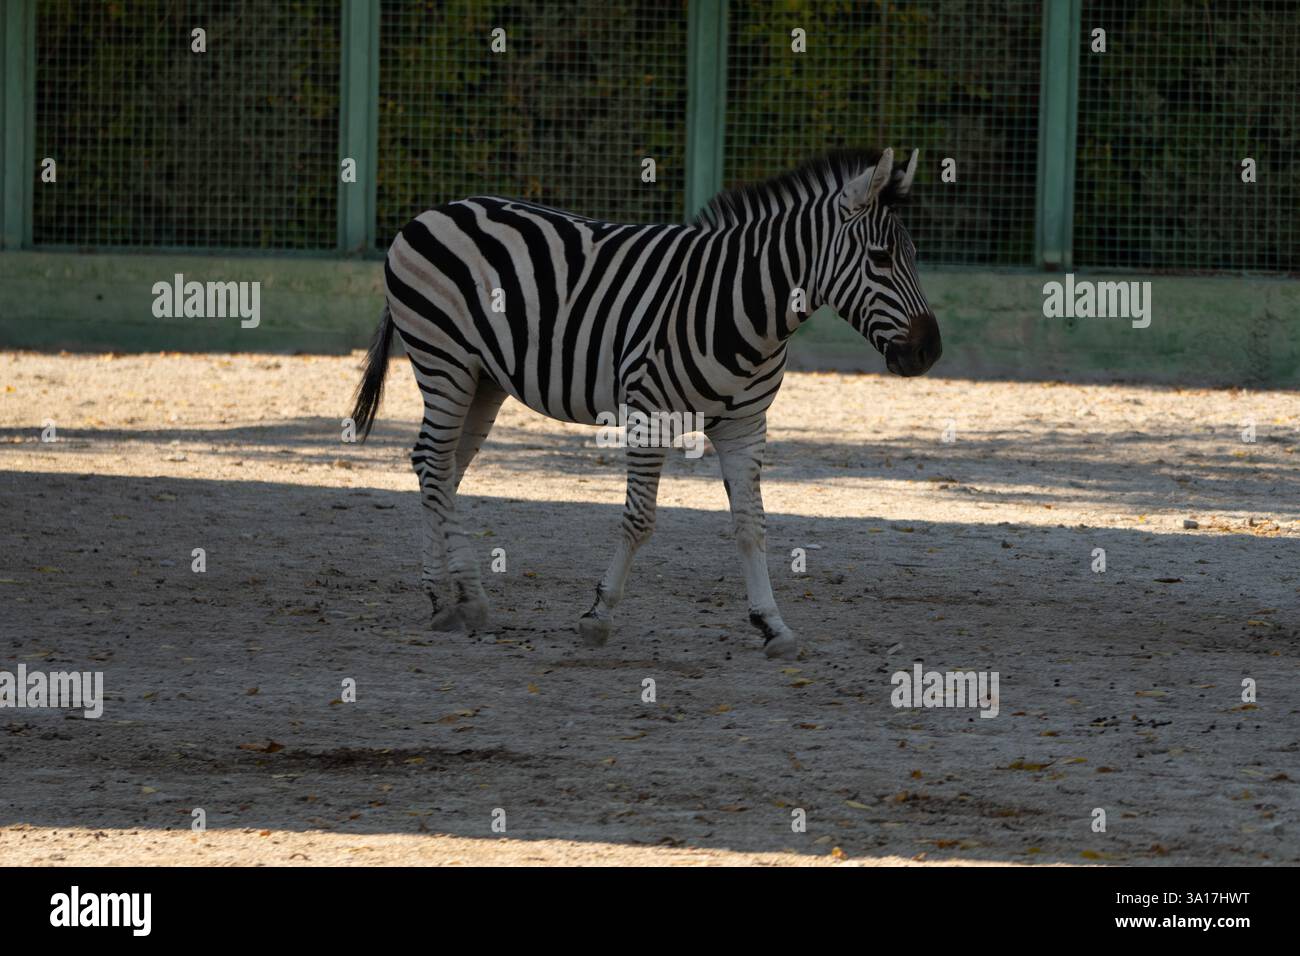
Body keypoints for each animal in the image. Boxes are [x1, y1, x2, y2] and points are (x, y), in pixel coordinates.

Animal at [350, 147, 941, 660]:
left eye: (914, 257)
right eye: (881, 259)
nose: (930, 351)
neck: (744, 306)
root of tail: (435, 210)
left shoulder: (745, 424)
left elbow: (752, 525)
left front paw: (772, 624)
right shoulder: (648, 413)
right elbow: (639, 520)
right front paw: (598, 615)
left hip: (483, 378)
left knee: (441, 469)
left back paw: (448, 596)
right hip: (443, 360)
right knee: (432, 462)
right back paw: (461, 599)